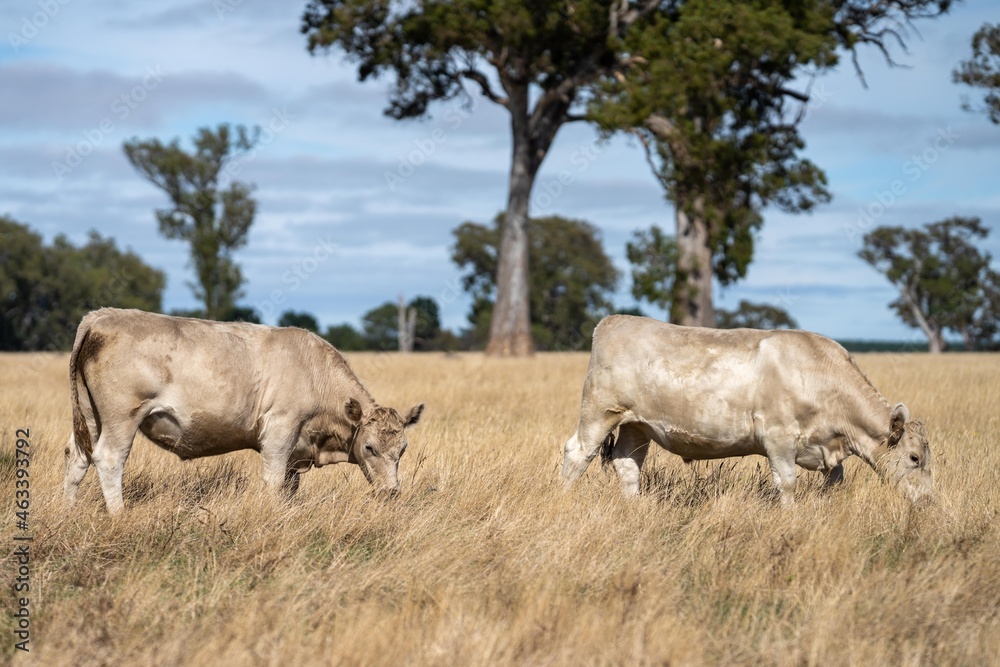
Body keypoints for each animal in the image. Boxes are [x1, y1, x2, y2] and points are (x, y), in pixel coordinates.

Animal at [63, 308, 424, 513]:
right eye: (369, 447)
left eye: (402, 450)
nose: (391, 493)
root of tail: (102, 316)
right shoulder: (280, 430)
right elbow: (274, 481)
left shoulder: (296, 450)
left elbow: (289, 486)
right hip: (121, 417)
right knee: (109, 458)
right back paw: (119, 514)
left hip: (90, 416)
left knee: (77, 457)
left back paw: (67, 510)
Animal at [561, 315, 933, 505]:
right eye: (914, 458)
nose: (928, 500)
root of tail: (613, 321)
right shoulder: (778, 438)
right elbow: (787, 483)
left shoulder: (826, 449)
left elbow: (835, 482)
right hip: (598, 412)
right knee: (577, 454)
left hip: (637, 425)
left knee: (628, 465)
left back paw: (634, 507)